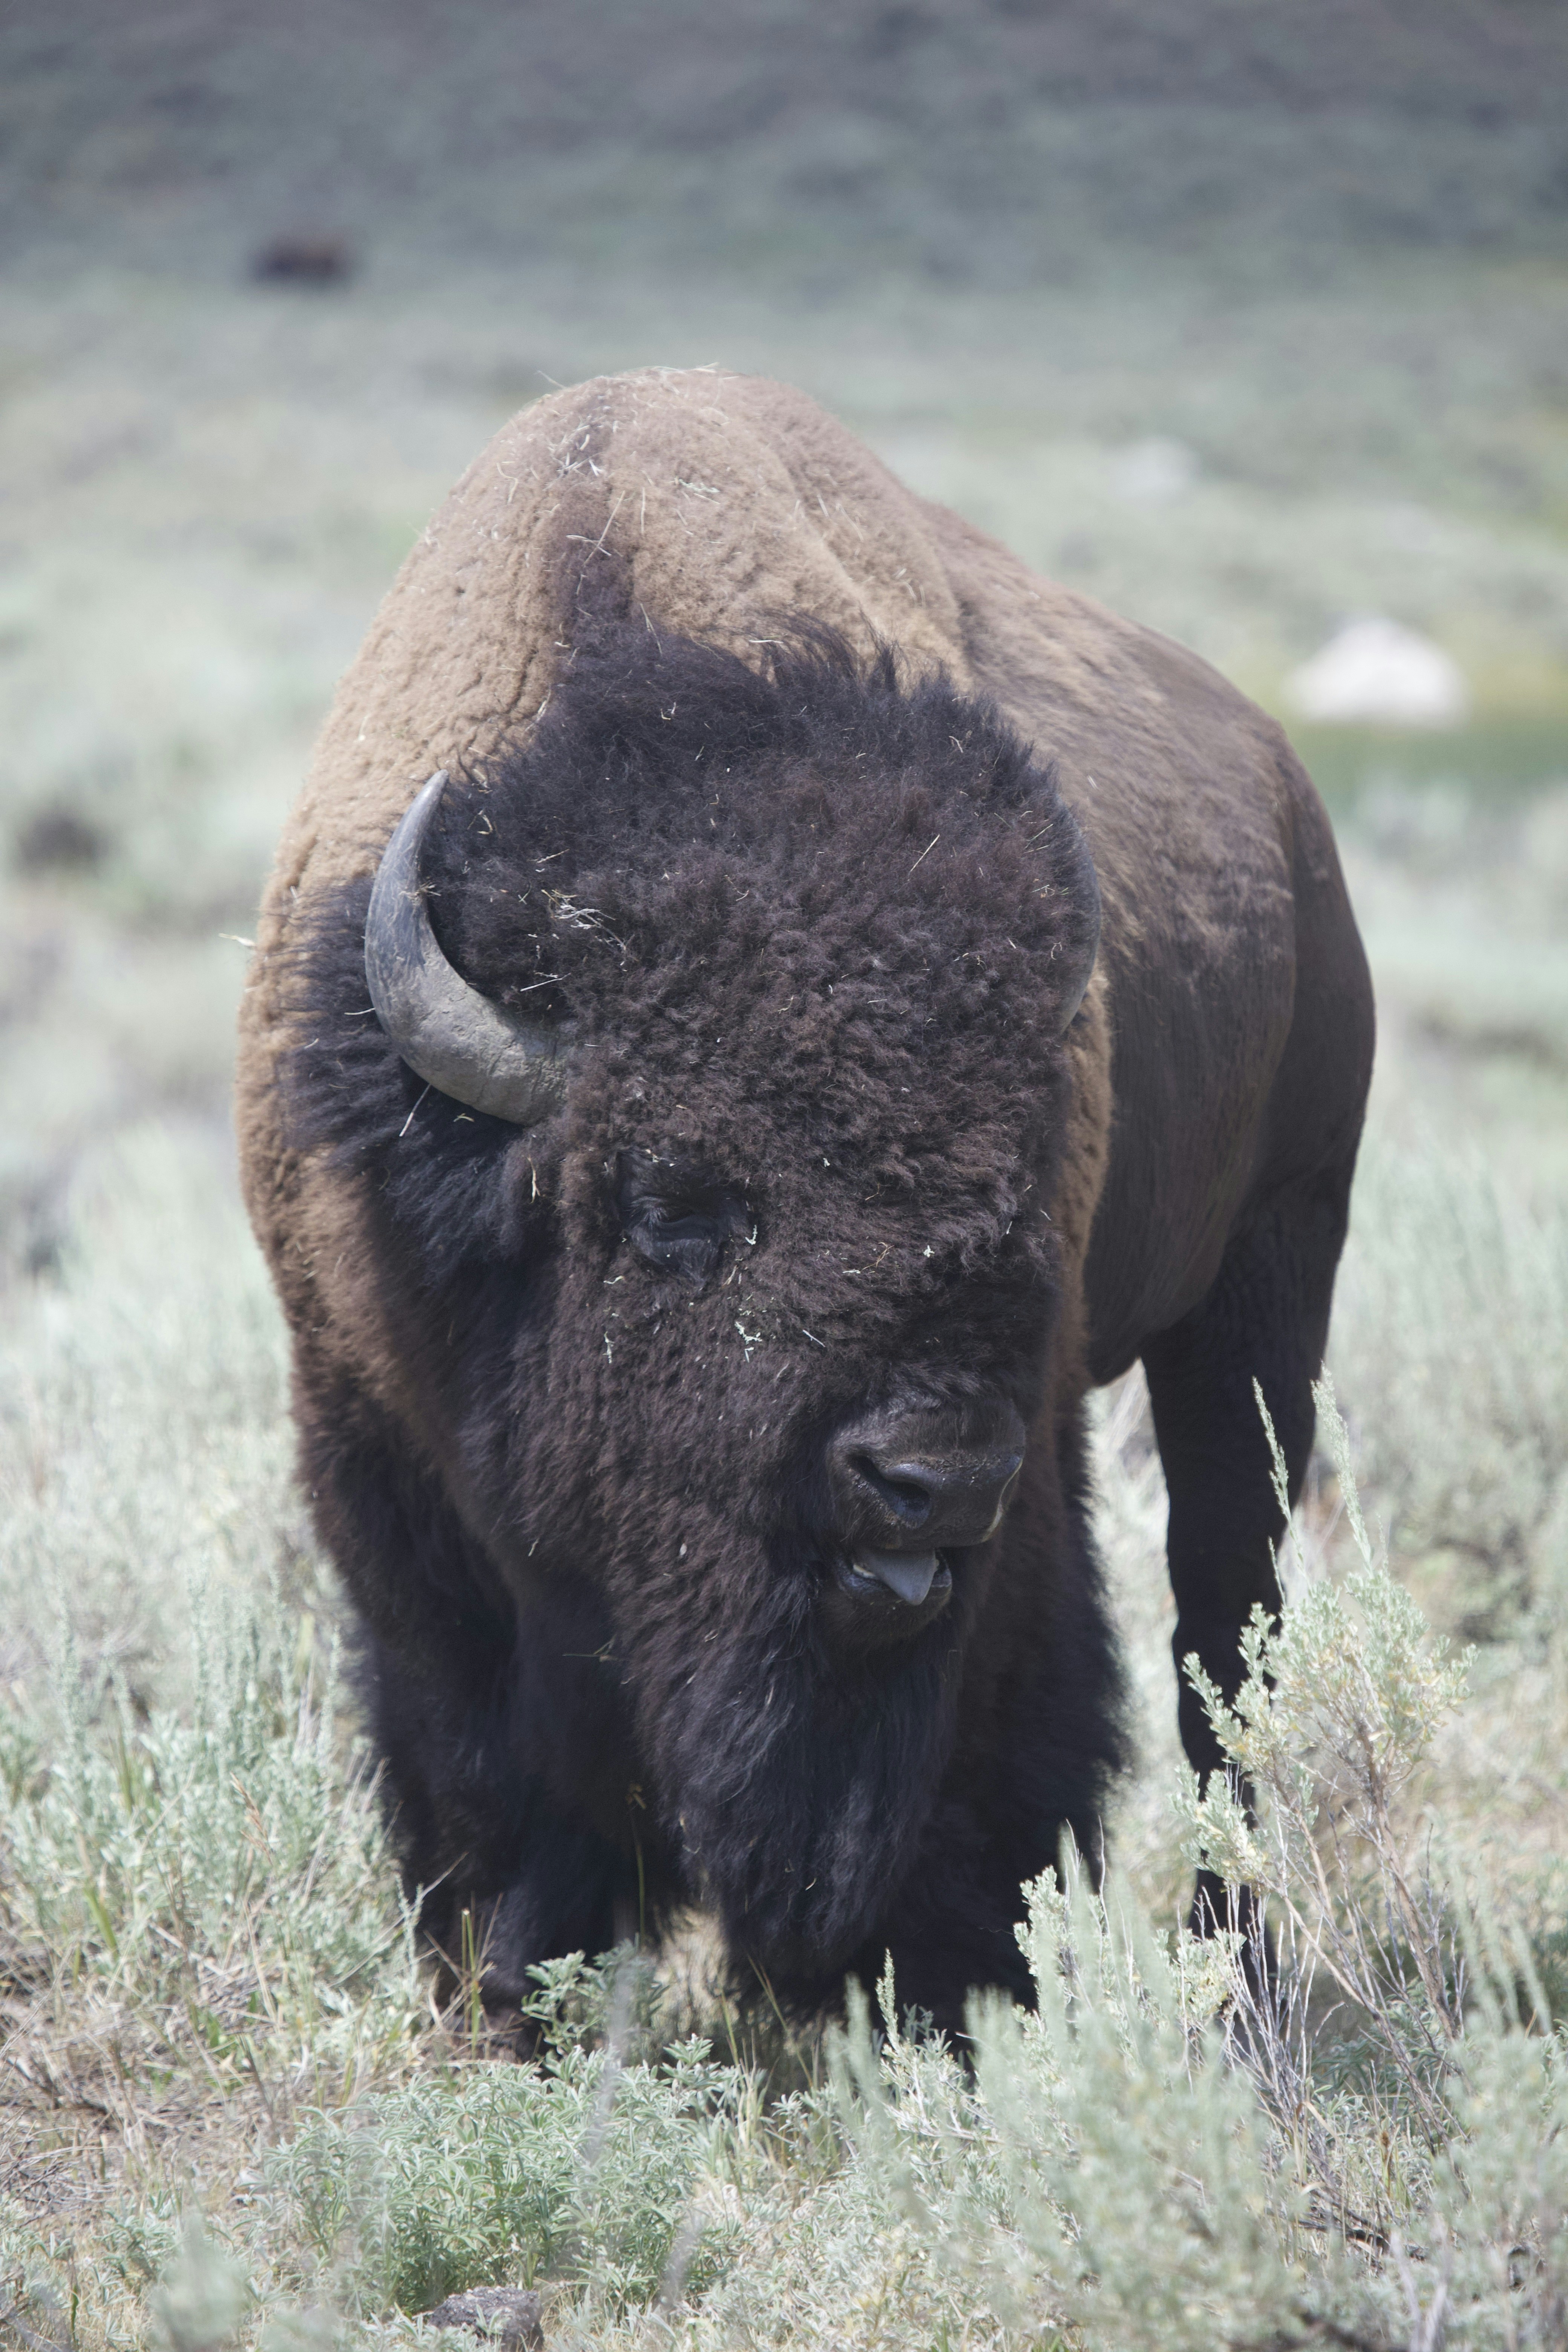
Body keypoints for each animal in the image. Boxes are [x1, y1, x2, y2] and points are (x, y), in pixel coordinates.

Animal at [237, 368, 1374, 2034]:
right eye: (674, 1205)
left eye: (1022, 1193)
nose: (926, 1479)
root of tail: (1293, 795)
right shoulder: (381, 1453)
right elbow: (485, 1773)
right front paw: (507, 2003)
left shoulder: (1018, 1490)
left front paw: (934, 2014)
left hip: (1265, 1284)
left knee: (1226, 1638)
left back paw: (1229, 1974)